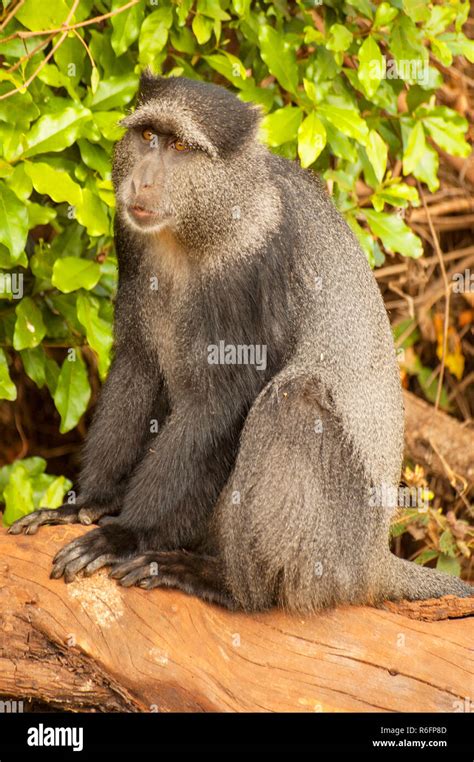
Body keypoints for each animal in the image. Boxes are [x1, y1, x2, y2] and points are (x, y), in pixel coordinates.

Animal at [9, 72, 472, 611]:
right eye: (148, 137)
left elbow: (223, 400)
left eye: (181, 146)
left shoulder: (254, 267)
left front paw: (125, 534)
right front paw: (89, 504)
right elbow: (138, 366)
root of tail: (371, 562)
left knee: (294, 403)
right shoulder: (132, 245)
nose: (142, 181)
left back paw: (227, 584)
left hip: (331, 547)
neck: (199, 226)